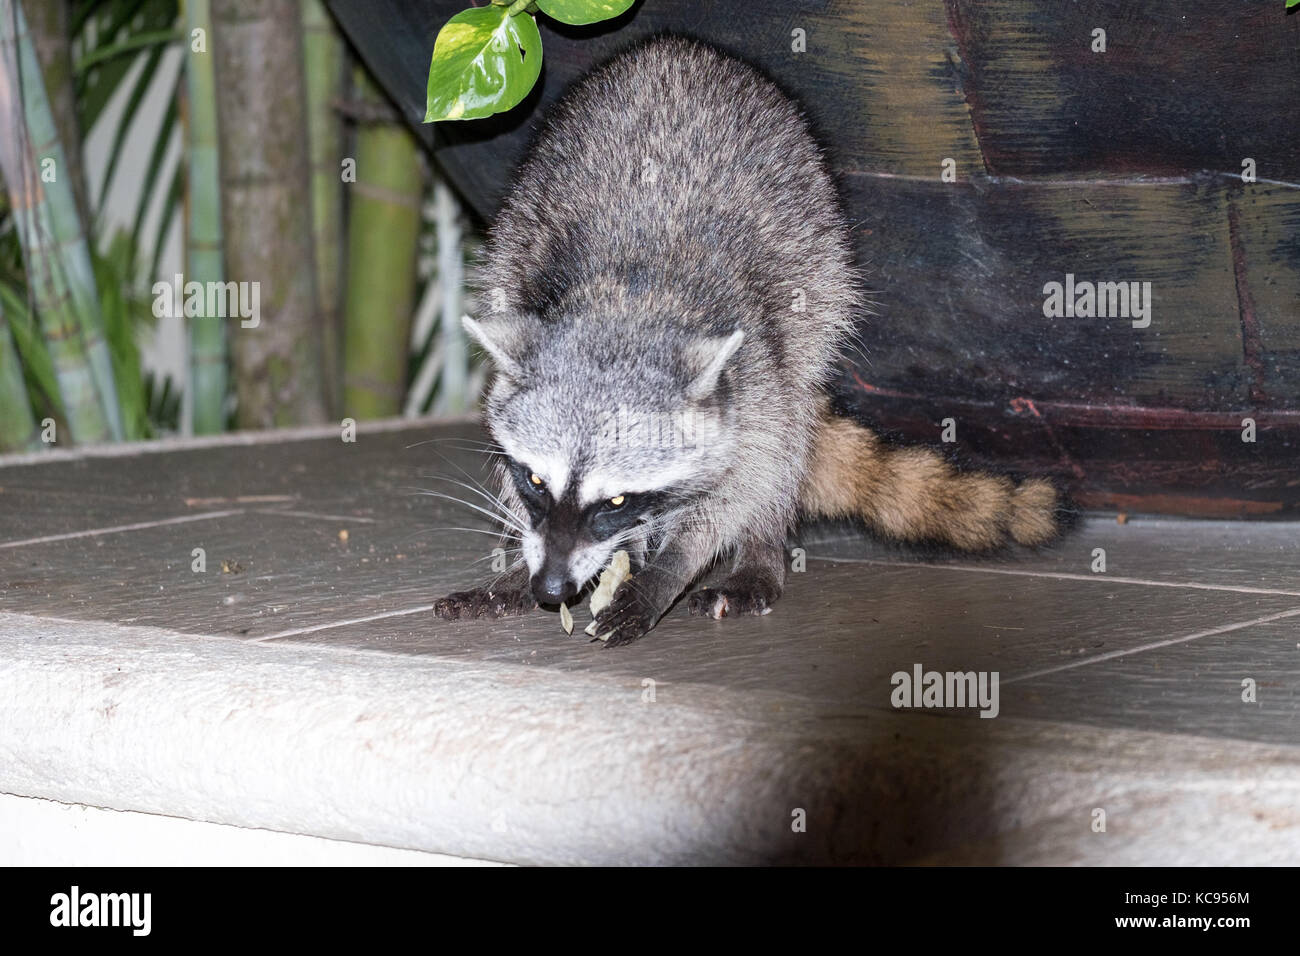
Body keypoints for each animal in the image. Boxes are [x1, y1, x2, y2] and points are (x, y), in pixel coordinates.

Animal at [433, 36, 1059, 645]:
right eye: (537, 481)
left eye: (617, 500)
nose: (552, 588)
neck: (628, 300)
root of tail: (677, 48)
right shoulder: (525, 290)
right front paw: (523, 555)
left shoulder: (753, 364)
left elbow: (745, 475)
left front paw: (669, 570)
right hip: (515, 228)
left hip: (822, 272)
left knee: (789, 428)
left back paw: (760, 549)